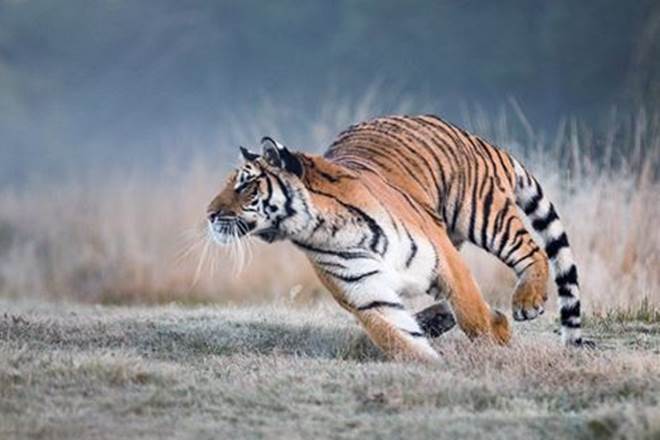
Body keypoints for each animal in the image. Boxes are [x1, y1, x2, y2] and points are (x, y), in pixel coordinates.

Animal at [206, 115, 590, 362]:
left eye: (245, 185)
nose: (209, 214)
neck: (323, 229)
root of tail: (477, 138)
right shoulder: (364, 292)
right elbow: (397, 335)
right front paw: (430, 366)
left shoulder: (443, 258)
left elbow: (473, 314)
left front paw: (497, 340)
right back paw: (438, 319)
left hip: (482, 215)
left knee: (531, 249)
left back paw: (527, 301)